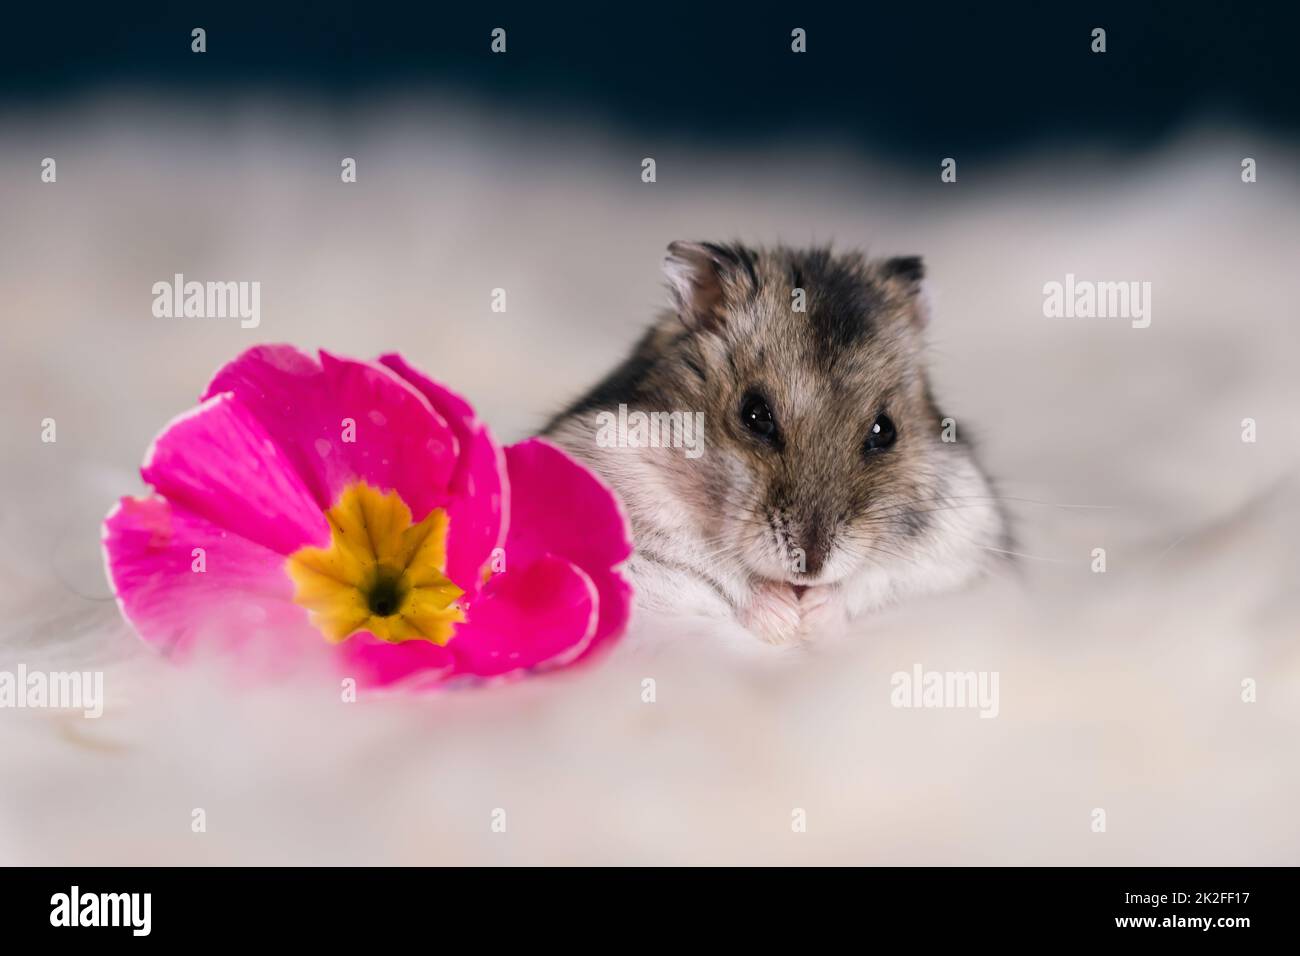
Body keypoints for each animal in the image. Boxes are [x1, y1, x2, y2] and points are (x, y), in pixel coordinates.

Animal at [544, 241, 1007, 647]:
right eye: (755, 414)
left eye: (884, 430)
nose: (809, 570)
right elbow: (710, 567)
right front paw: (786, 626)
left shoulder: (959, 547)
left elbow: (873, 578)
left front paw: (814, 624)